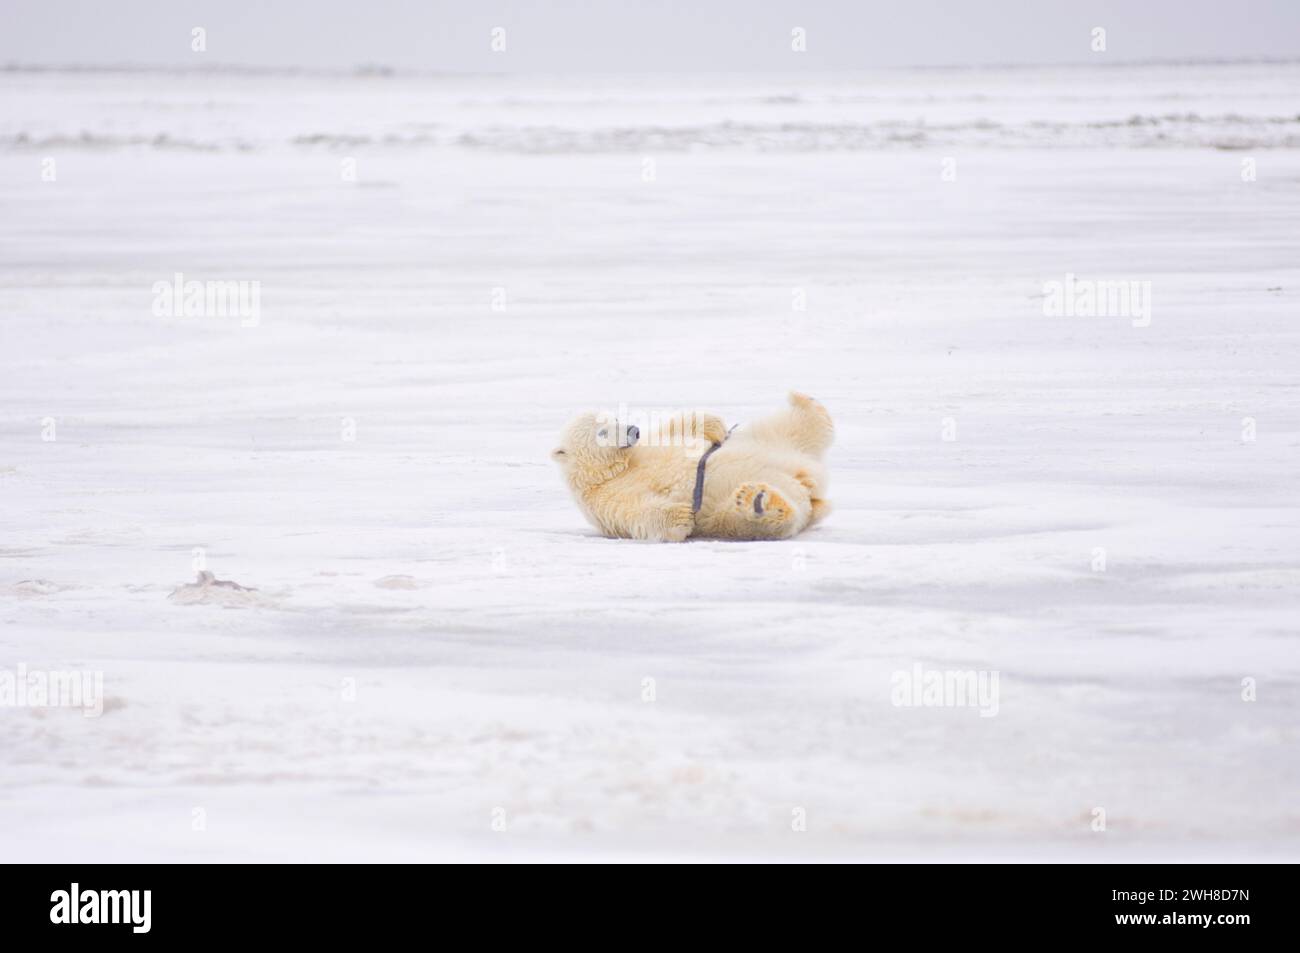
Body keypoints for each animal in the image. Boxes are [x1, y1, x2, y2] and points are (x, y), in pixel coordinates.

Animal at [551, 392, 833, 542]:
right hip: (727, 516)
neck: (615, 468)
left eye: (616, 419)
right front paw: (681, 514)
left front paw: (714, 427)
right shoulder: (603, 499)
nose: (633, 430)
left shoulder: (646, 446)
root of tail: (808, 484)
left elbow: (676, 429)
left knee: (796, 426)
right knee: (757, 519)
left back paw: (805, 402)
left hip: (767, 439)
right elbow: (638, 515)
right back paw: (758, 501)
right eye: (601, 432)